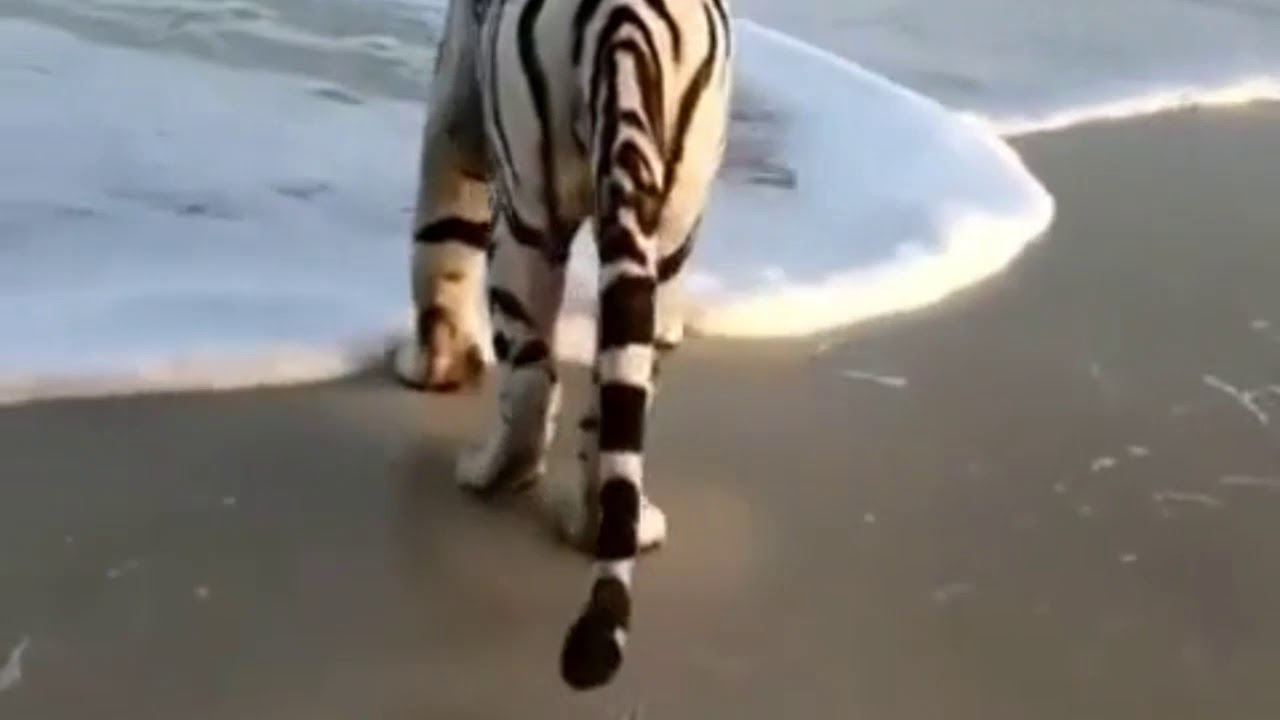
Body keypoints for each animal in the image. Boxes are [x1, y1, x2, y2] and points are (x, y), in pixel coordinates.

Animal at [391, 0, 733, 690]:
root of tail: (628, 22)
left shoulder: (457, 104)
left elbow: (441, 237)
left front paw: (432, 367)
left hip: (527, 220)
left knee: (530, 379)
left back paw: (490, 472)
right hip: (669, 226)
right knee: (616, 403)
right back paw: (605, 521)